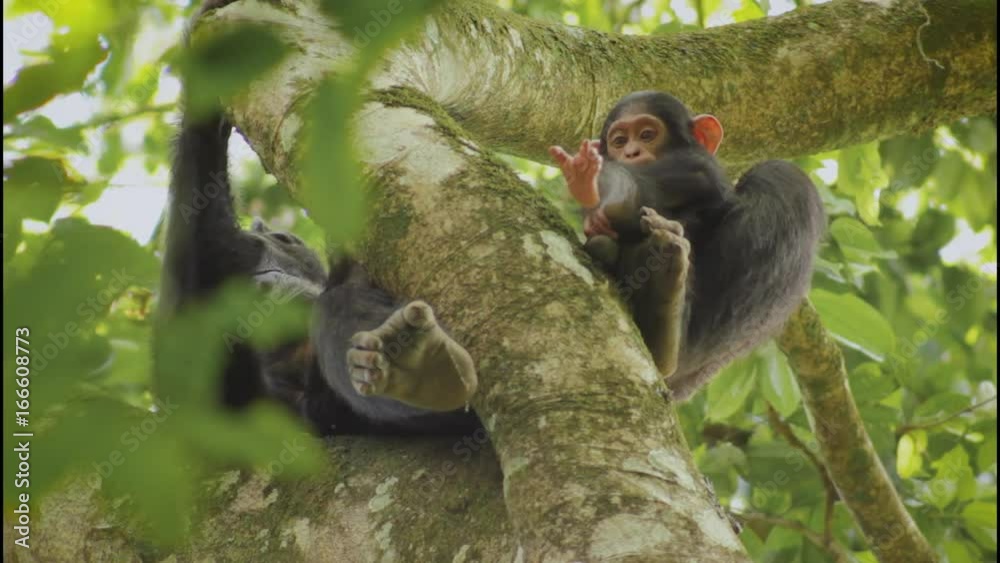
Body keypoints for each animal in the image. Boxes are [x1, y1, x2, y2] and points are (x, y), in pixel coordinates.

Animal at [549, 91, 825, 400]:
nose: (631, 152)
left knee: (784, 177)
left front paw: (589, 182)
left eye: (647, 134)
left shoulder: (694, 165)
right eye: (619, 141)